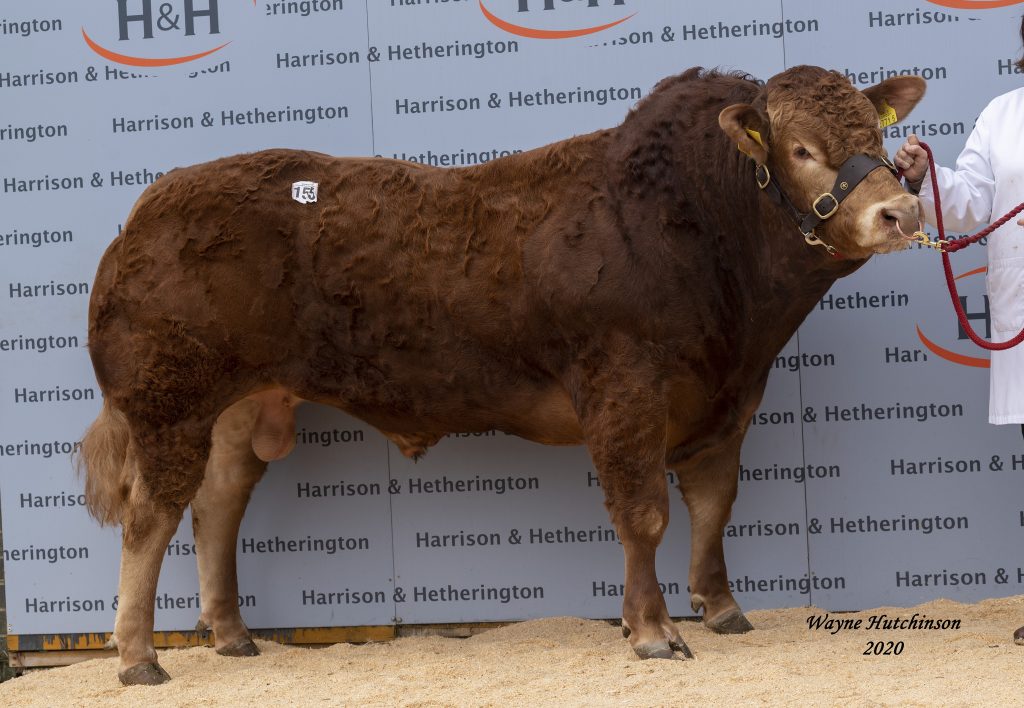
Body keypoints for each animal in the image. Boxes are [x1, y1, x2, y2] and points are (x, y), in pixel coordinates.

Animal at [79, 65, 925, 685]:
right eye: (802, 149)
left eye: (877, 134)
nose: (902, 212)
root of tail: (151, 206)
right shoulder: (624, 388)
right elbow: (644, 513)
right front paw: (652, 632)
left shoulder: (729, 398)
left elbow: (714, 507)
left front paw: (720, 611)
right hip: (167, 400)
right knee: (150, 516)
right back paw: (138, 658)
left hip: (240, 404)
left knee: (218, 502)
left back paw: (231, 634)